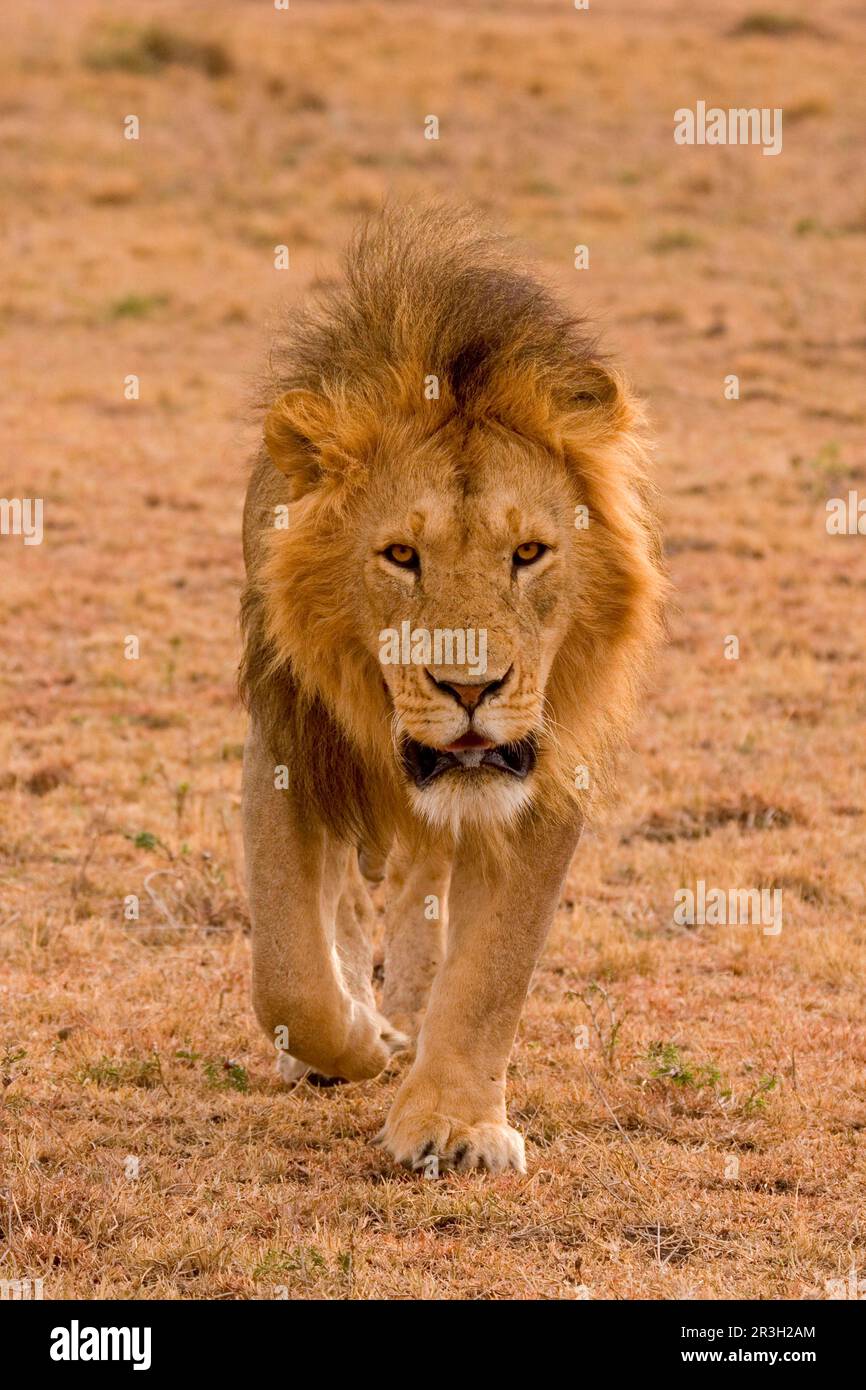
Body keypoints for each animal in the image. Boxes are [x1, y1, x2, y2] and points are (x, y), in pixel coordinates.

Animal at [239, 204, 666, 1173]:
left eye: (529, 552)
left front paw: (454, 1122)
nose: (471, 688)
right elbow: (288, 970)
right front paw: (354, 1044)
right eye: (401, 555)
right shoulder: (290, 740)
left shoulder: (543, 769)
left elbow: (493, 970)